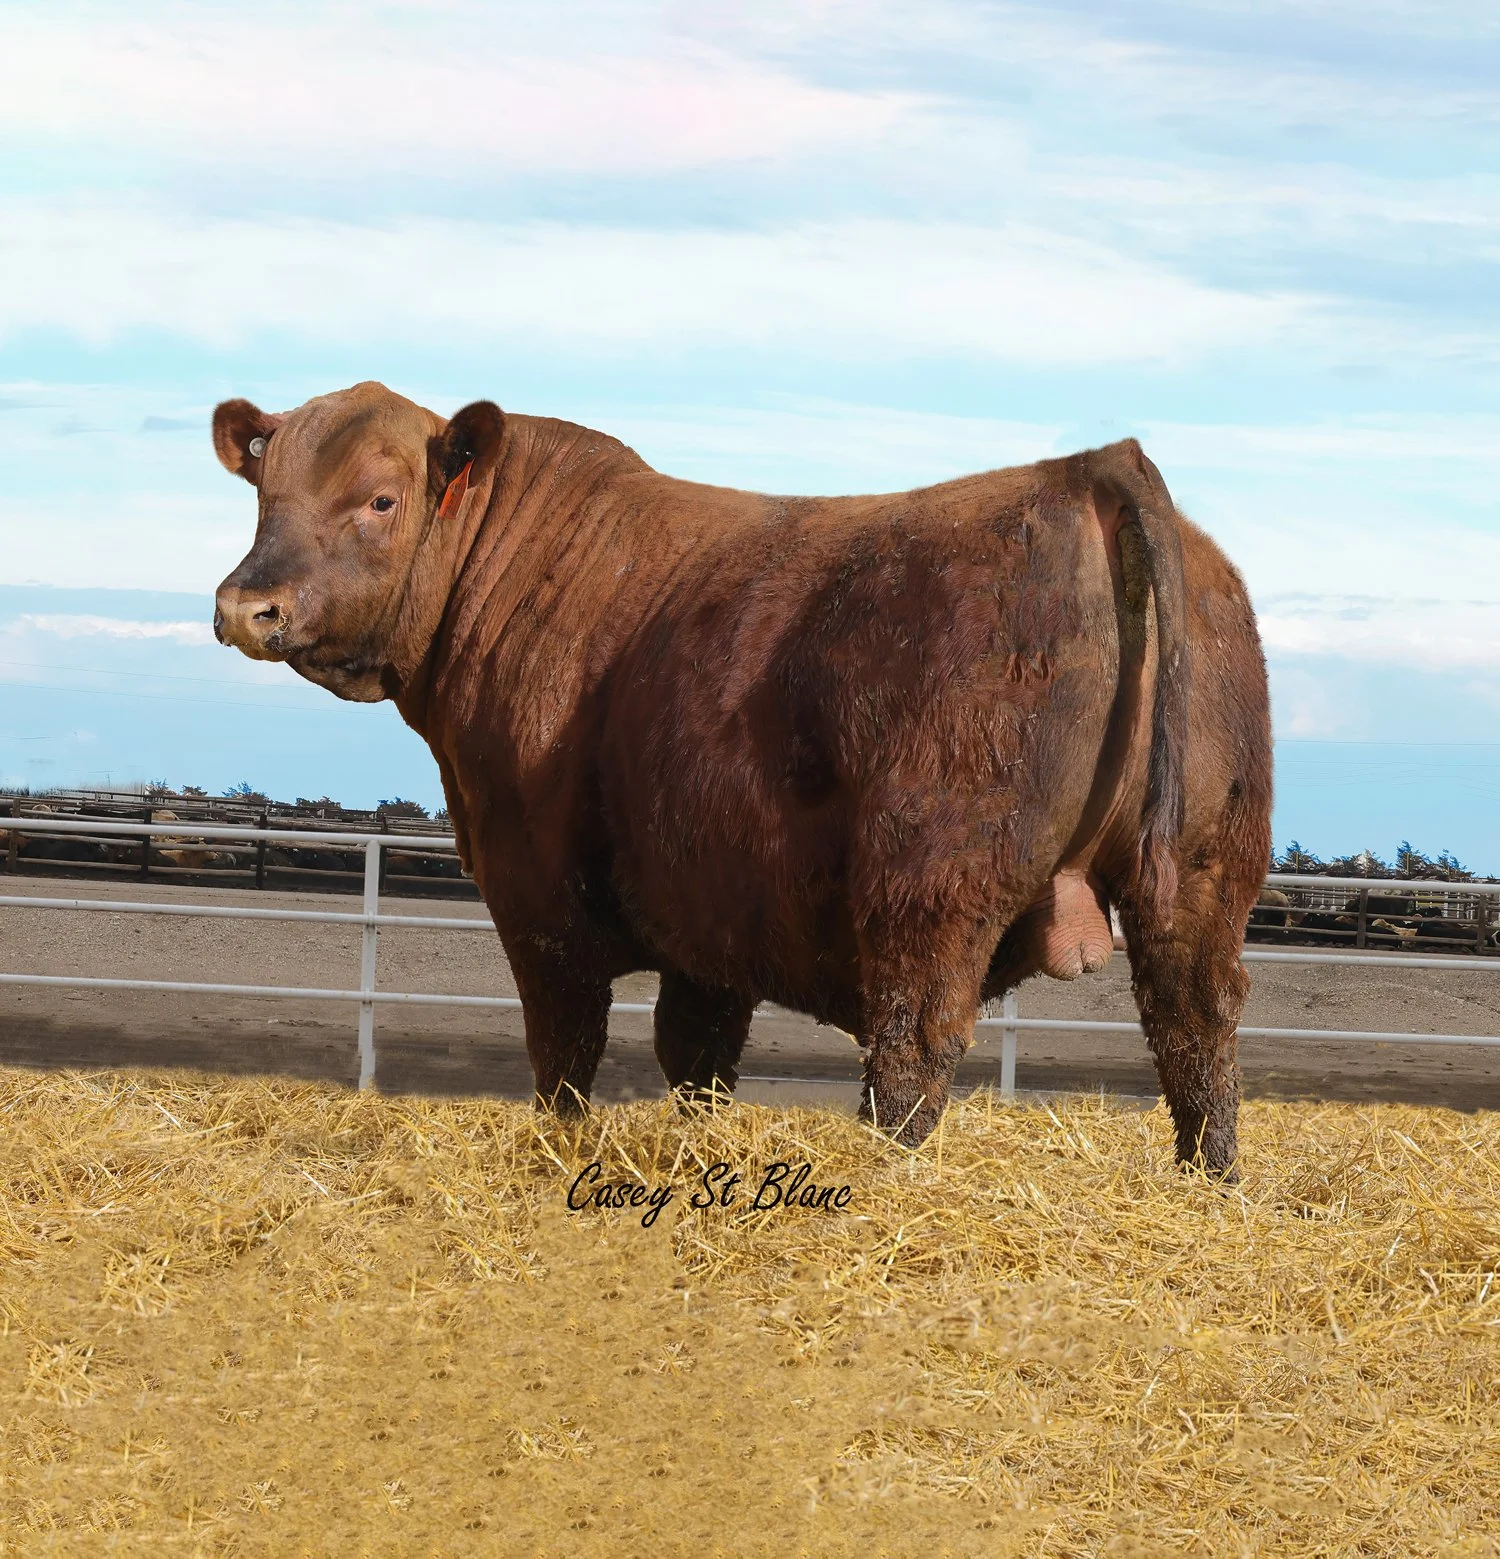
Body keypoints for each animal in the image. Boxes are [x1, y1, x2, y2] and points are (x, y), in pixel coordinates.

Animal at [211, 382, 1272, 1175]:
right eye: (265, 491)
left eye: (381, 499)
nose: (246, 605)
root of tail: (1082, 471)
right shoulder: (710, 917)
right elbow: (695, 1057)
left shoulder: (536, 893)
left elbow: (567, 1052)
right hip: (1204, 876)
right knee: (1198, 1032)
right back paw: (1206, 1184)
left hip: (931, 884)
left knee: (915, 1050)